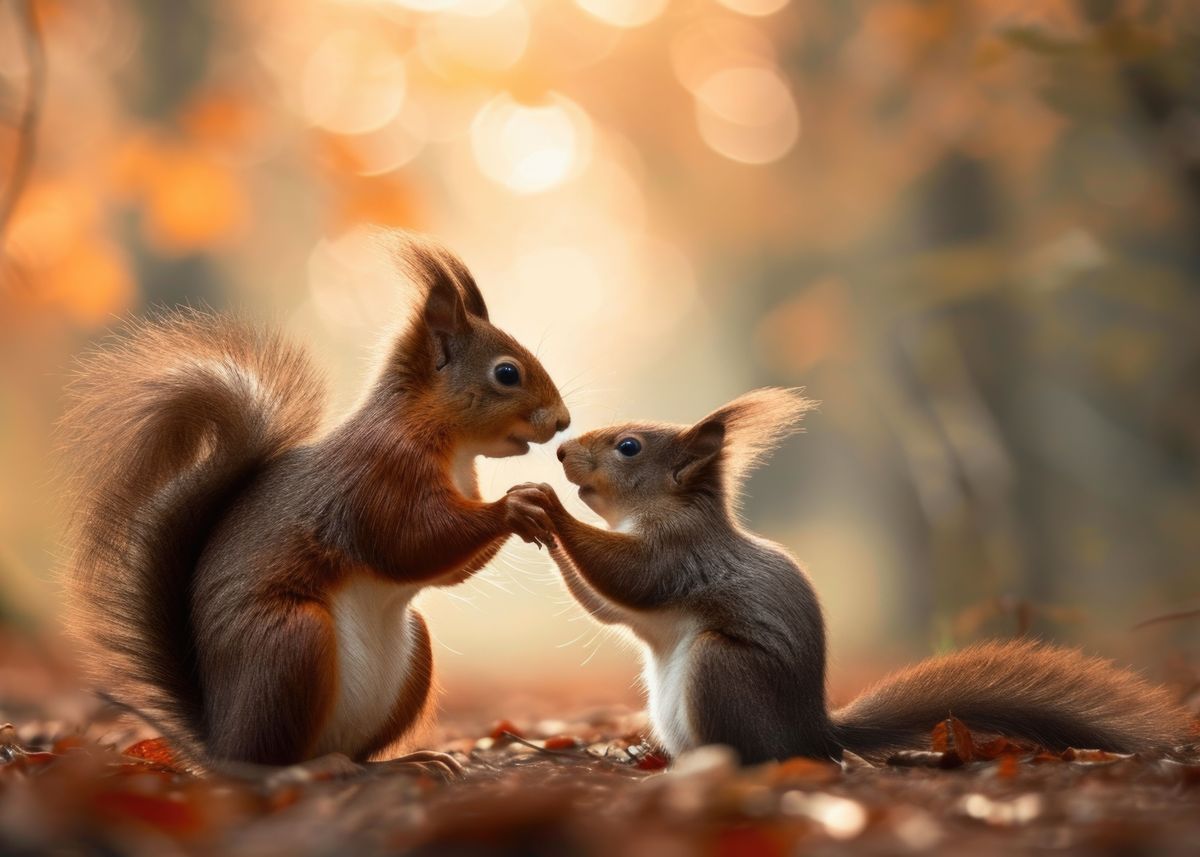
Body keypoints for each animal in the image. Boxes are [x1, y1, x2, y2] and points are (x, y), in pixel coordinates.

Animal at [61, 233, 568, 777]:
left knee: (359, 754)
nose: (563, 421)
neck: (448, 442)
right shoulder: (380, 475)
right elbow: (410, 543)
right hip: (291, 643)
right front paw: (512, 506)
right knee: (268, 760)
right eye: (507, 373)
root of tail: (219, 741)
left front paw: (536, 501)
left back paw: (404, 763)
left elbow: (444, 567)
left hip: (406, 657)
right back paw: (312, 769)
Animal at [511, 388, 1195, 764]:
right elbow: (609, 606)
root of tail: (814, 736)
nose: (561, 452)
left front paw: (549, 504)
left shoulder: (681, 554)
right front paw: (528, 510)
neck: (664, 511)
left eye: (629, 447)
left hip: (723, 669)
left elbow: (629, 576)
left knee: (752, 755)